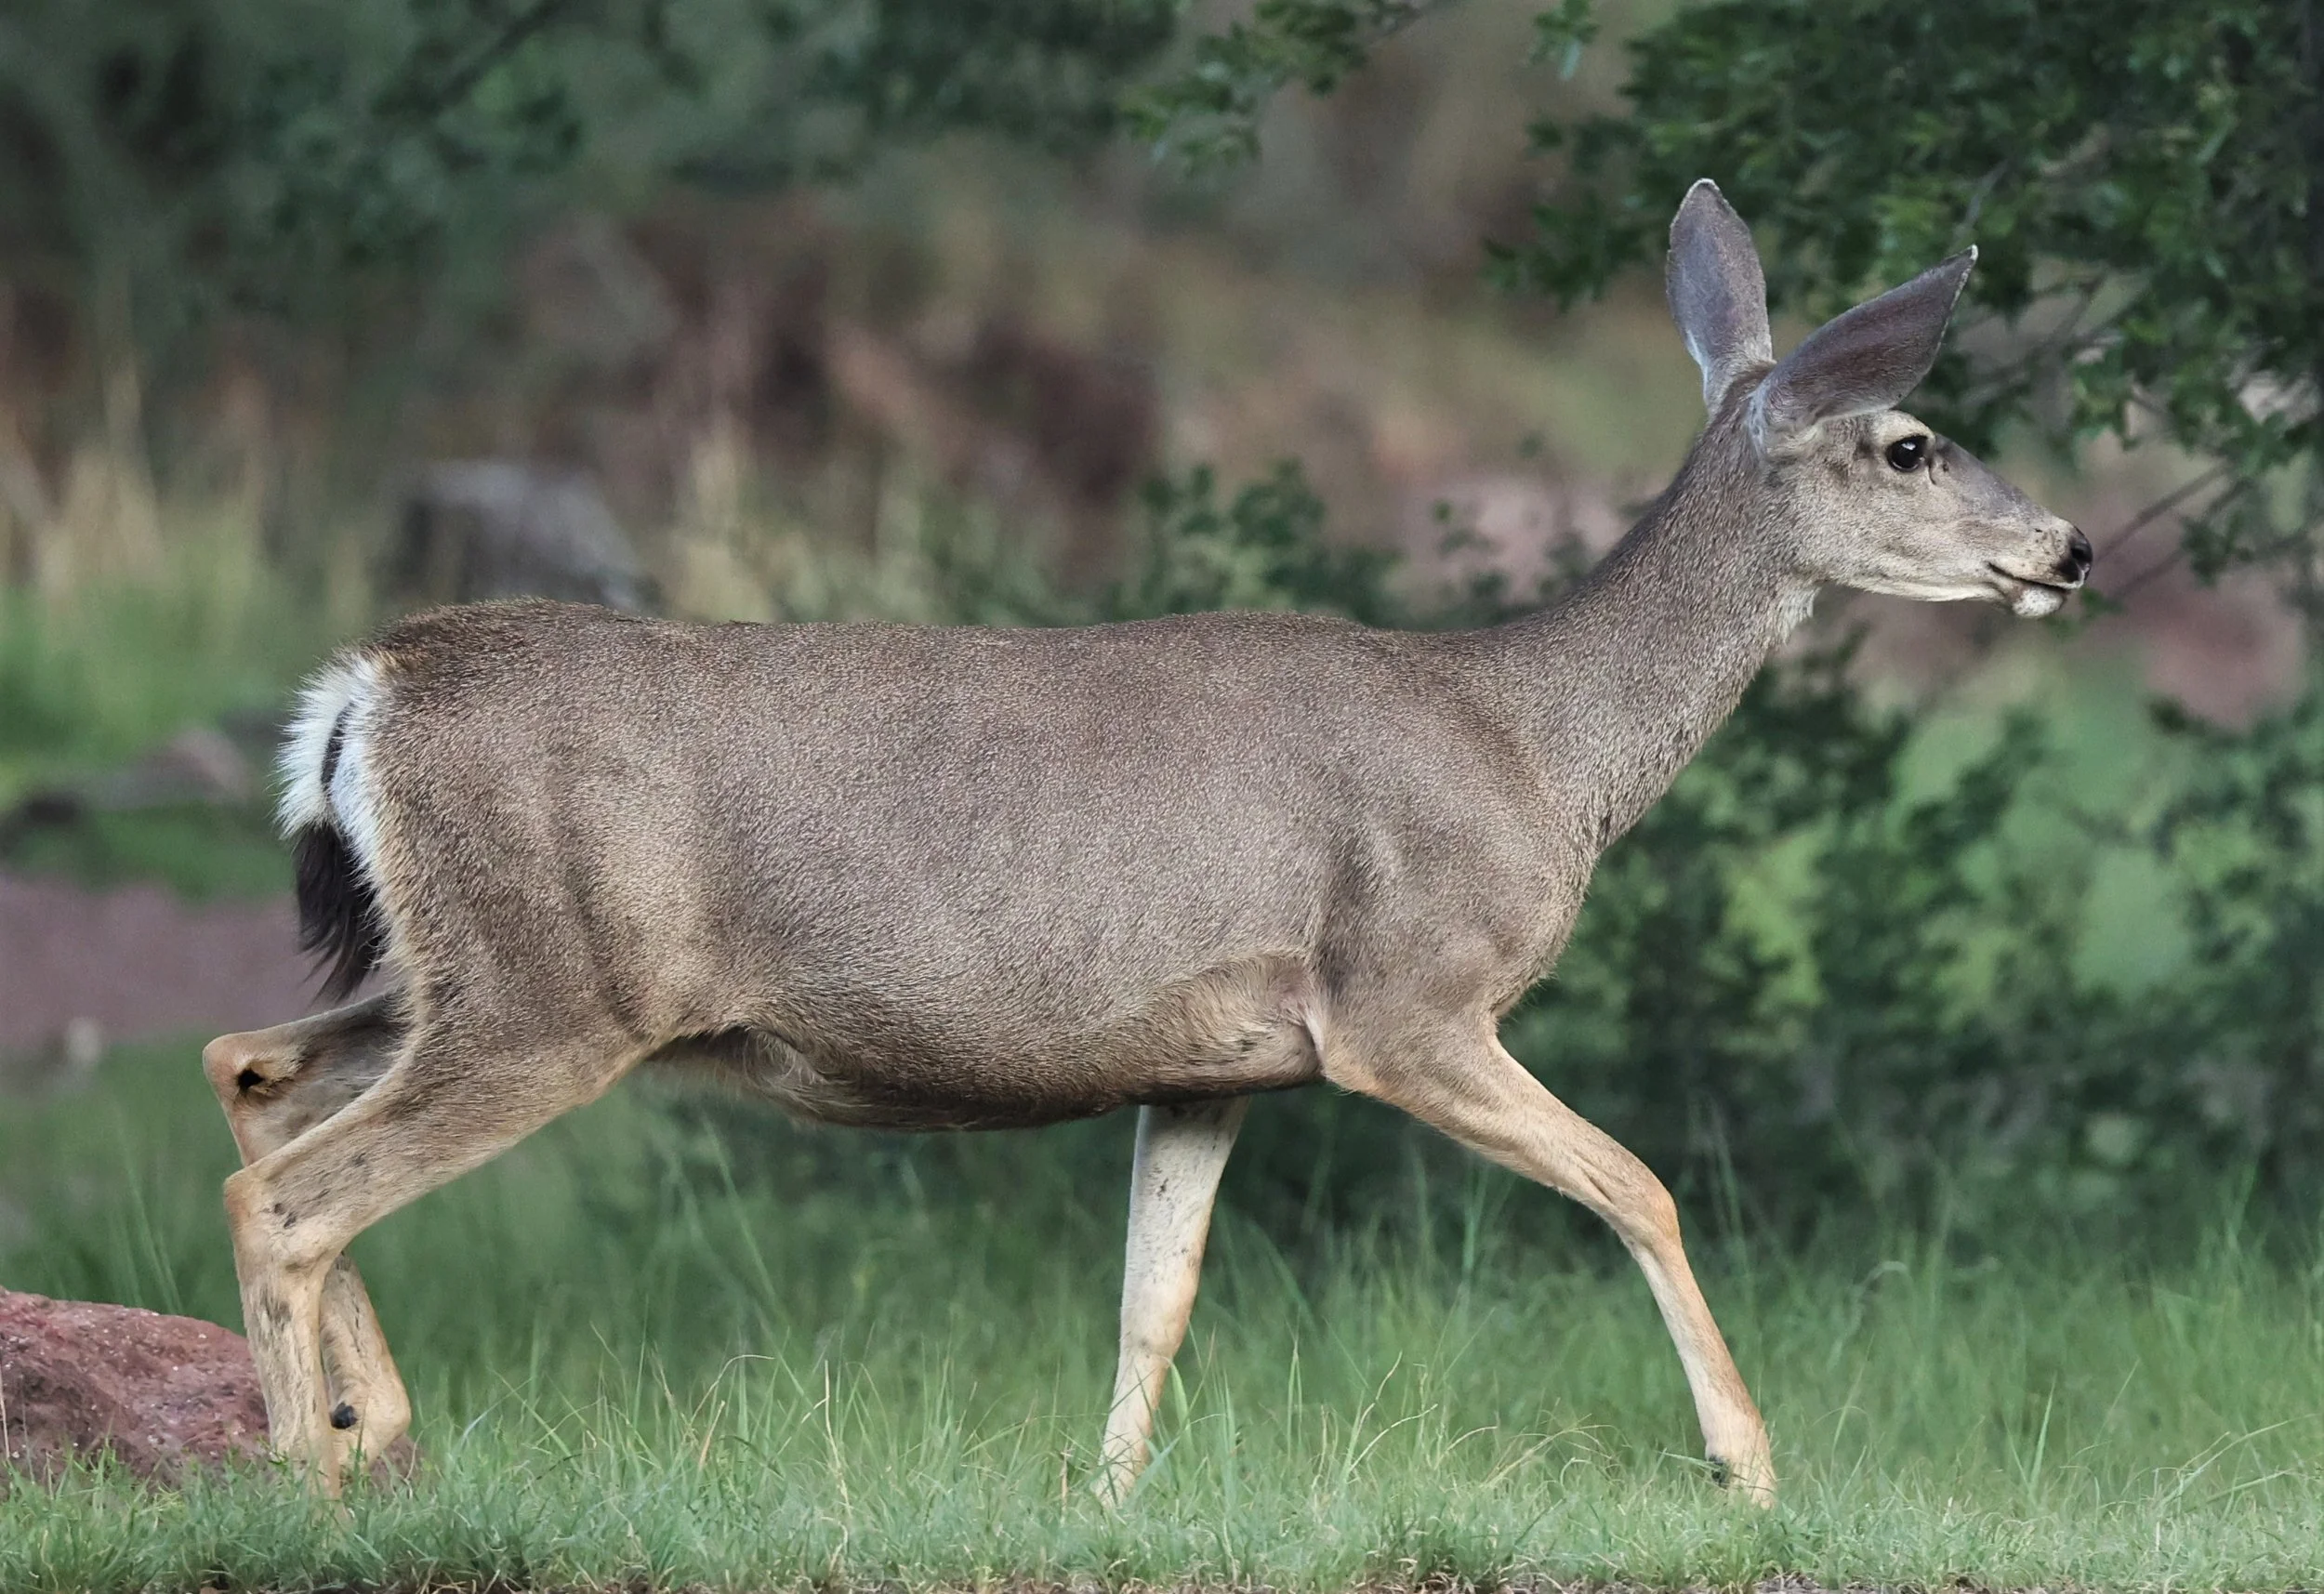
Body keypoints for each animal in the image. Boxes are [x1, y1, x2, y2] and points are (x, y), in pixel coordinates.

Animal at [202, 181, 2090, 1508]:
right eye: (1912, 442)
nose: (2067, 547)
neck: (1536, 748)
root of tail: (363, 691)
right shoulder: (1407, 1000)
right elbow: (1644, 1181)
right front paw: (1747, 1462)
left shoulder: (1210, 1062)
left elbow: (1154, 1295)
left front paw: (1103, 1496)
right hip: (555, 988)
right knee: (287, 1192)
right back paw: (310, 1477)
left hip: (447, 971)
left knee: (250, 1071)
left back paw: (373, 1431)